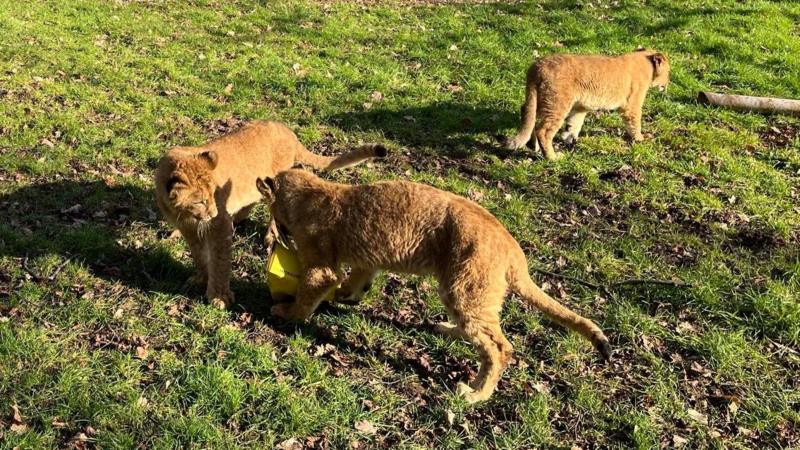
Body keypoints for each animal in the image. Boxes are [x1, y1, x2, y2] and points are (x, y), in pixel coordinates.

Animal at [155, 120, 386, 309]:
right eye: (201, 201)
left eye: (214, 195)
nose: (213, 212)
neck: (184, 214)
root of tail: (288, 132)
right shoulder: (189, 230)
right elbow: (199, 255)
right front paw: (200, 278)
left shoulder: (220, 228)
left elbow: (219, 262)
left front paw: (219, 296)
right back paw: (240, 216)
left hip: (273, 186)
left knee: (273, 212)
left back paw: (269, 235)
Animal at [256, 170, 611, 403]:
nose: (277, 234)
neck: (312, 191)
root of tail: (513, 248)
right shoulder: (367, 257)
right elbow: (357, 279)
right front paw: (347, 295)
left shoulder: (321, 266)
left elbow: (309, 292)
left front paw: (287, 312)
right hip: (464, 291)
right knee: (477, 330)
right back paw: (446, 329)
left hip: (466, 287)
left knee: (498, 346)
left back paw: (474, 394)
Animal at [499, 49, 670, 160]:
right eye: (668, 72)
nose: (668, 83)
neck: (645, 63)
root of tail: (537, 65)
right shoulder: (631, 106)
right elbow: (635, 124)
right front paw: (641, 138)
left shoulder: (580, 106)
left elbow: (574, 123)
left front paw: (569, 138)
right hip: (557, 103)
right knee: (543, 130)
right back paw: (553, 157)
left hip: (541, 100)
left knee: (528, 115)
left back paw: (534, 146)